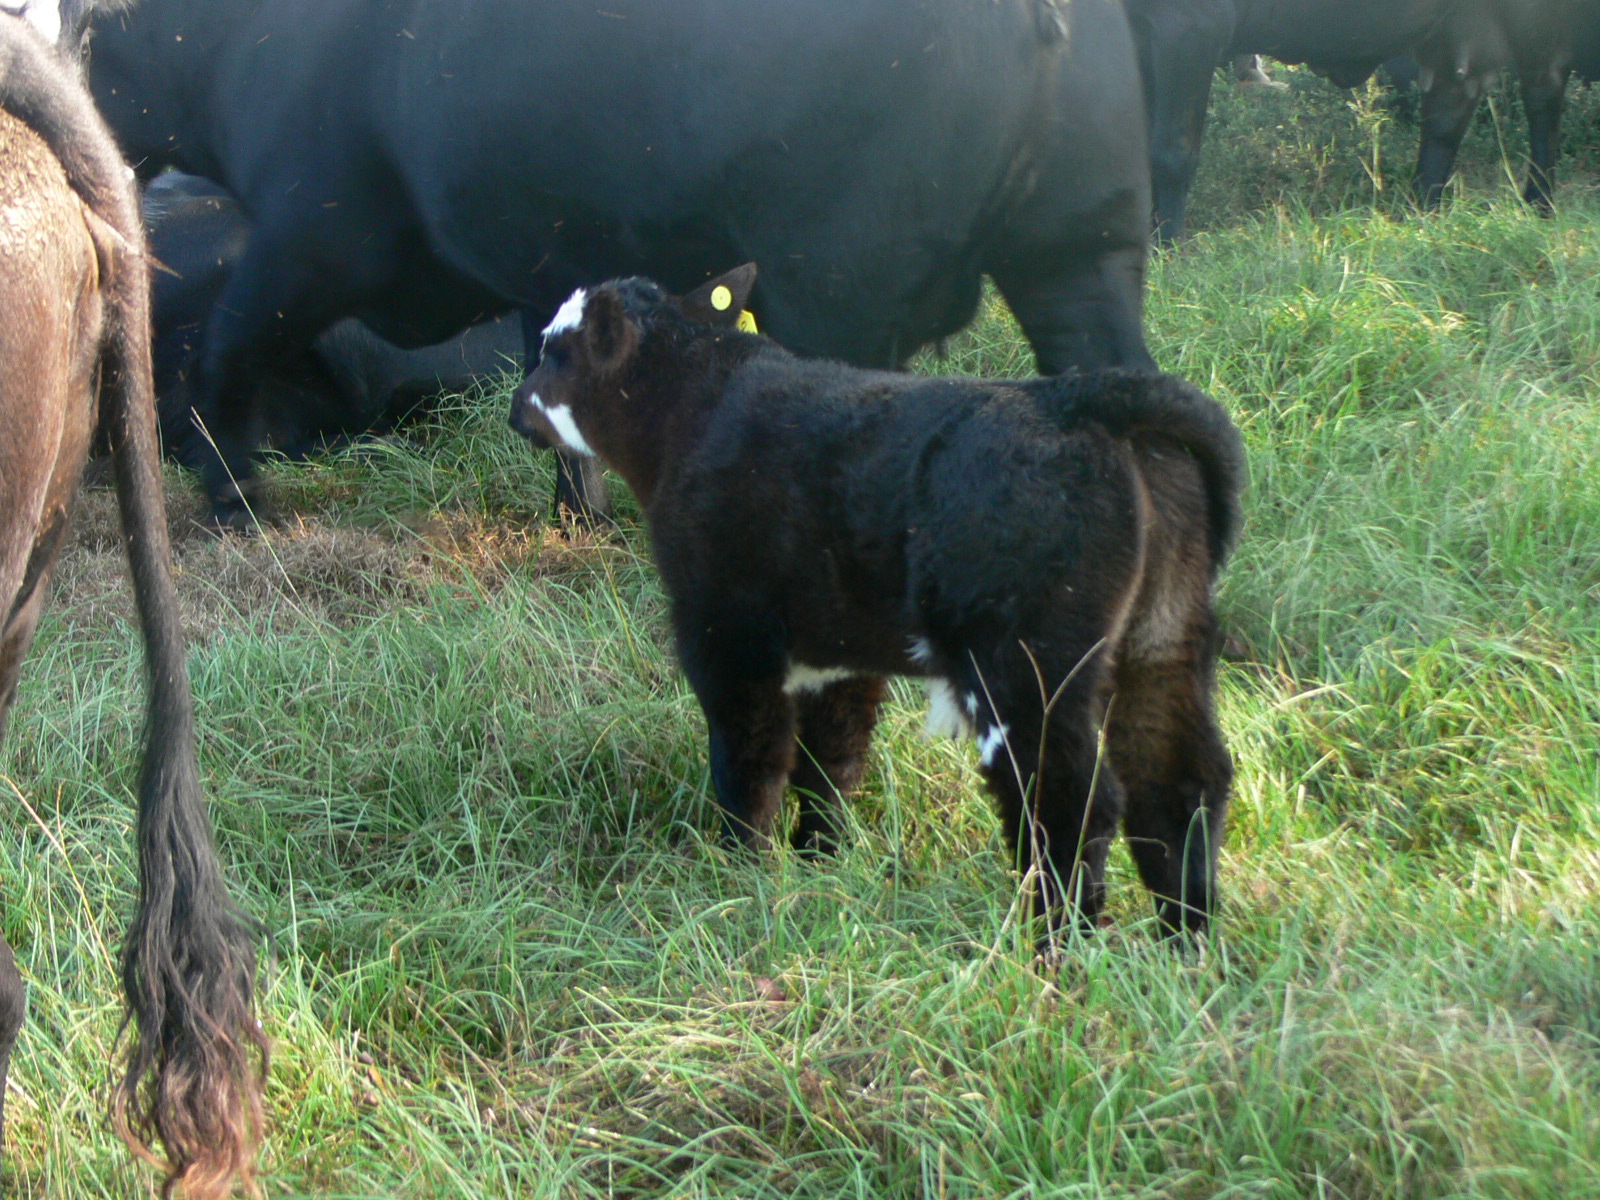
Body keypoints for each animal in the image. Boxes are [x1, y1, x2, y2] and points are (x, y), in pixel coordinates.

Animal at [510, 267, 1243, 941]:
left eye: (553, 350)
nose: (515, 407)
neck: (693, 411)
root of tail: (1080, 399)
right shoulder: (836, 646)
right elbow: (830, 762)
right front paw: (819, 862)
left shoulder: (725, 634)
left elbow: (750, 762)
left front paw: (741, 875)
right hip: (1162, 637)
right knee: (1179, 779)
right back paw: (1185, 941)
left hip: (1027, 667)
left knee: (1071, 799)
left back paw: (1056, 948)